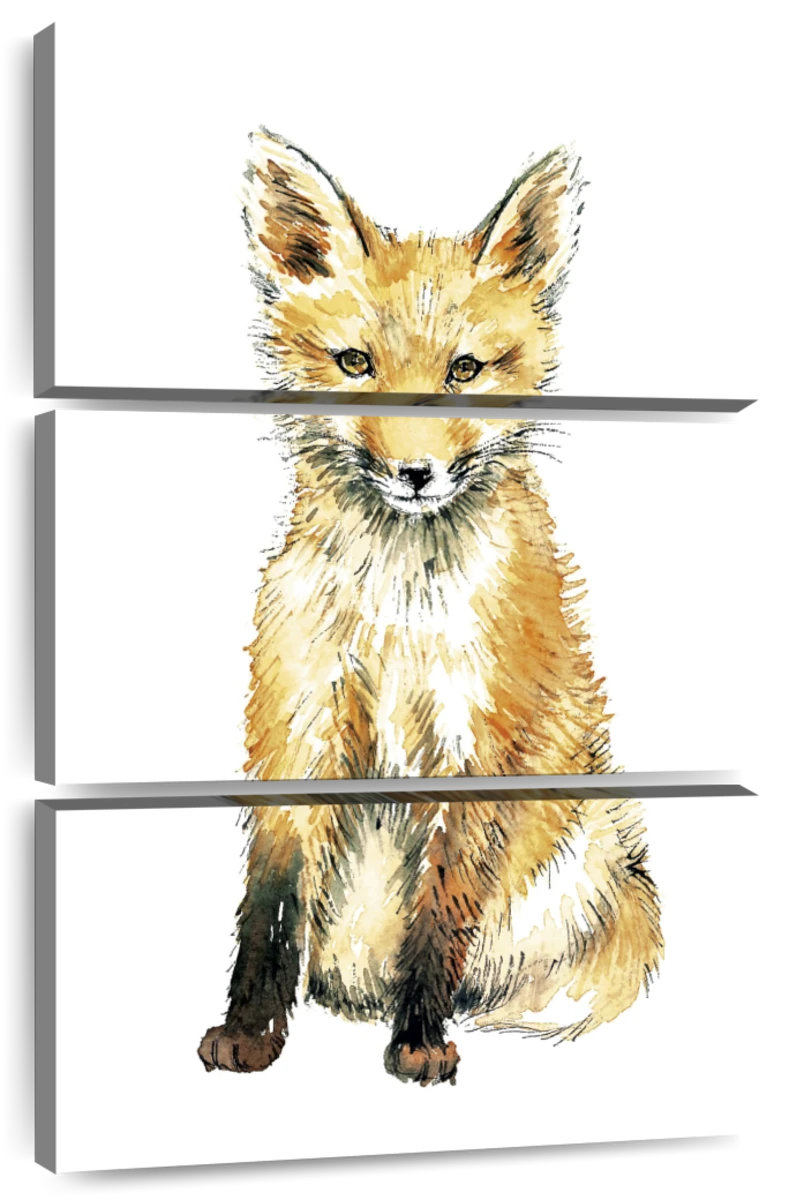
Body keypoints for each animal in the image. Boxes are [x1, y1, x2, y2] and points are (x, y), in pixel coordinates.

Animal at [198, 131, 663, 1086]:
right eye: (354, 365)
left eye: (463, 372)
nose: (416, 474)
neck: (397, 619)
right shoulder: (297, 727)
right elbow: (269, 908)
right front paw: (250, 1032)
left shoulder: (475, 741)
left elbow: (440, 915)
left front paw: (417, 1041)